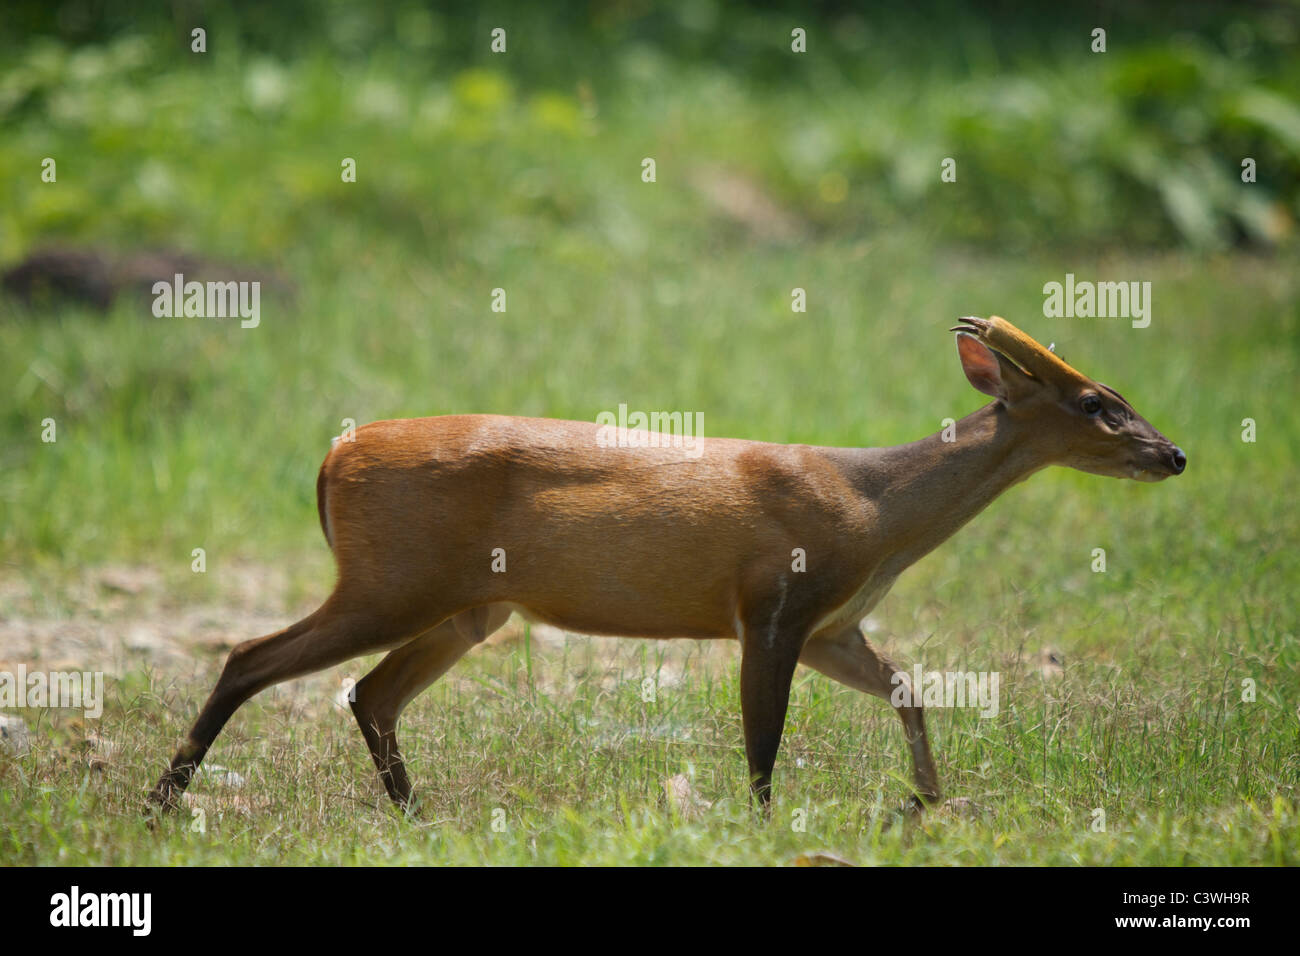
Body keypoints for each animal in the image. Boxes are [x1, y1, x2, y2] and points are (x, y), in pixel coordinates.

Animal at [147, 316, 1185, 818]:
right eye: (1097, 404)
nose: (1173, 455)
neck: (873, 510)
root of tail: (332, 458)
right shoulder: (771, 605)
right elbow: (762, 743)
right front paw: (765, 826)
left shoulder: (833, 625)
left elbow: (909, 688)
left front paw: (928, 801)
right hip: (390, 579)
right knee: (251, 656)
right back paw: (163, 804)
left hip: (467, 607)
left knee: (369, 693)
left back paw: (415, 817)